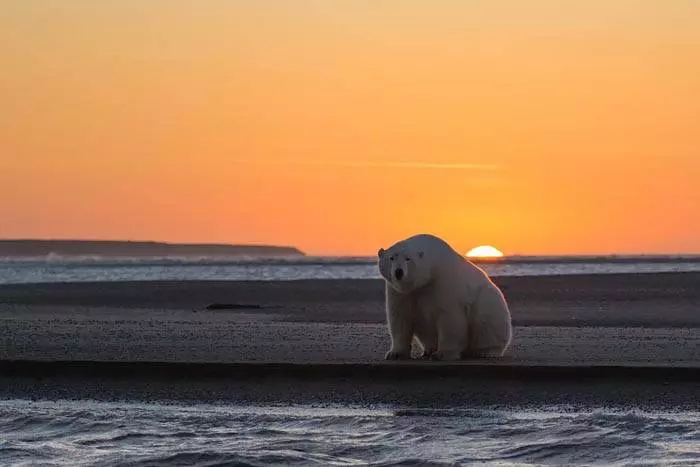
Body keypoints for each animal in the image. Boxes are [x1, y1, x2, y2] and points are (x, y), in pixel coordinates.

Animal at [378, 234, 516, 362]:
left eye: (408, 259)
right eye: (391, 258)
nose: (398, 272)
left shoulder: (444, 283)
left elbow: (449, 318)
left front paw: (442, 354)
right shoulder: (399, 291)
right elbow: (400, 317)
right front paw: (395, 354)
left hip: (490, 301)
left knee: (487, 322)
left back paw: (485, 351)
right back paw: (428, 351)